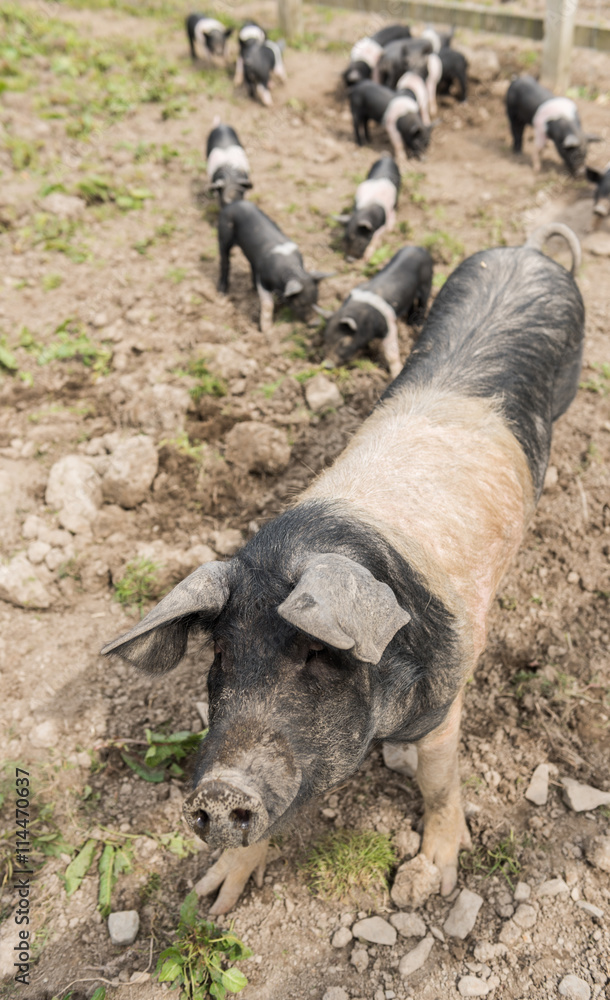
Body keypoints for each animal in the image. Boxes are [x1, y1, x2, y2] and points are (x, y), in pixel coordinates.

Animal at [215, 200, 331, 331]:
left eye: (316, 299)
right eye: (300, 303)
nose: (315, 322)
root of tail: (234, 202)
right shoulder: (263, 281)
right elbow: (267, 304)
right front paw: (266, 329)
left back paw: (253, 288)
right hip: (223, 235)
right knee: (225, 261)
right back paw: (221, 293)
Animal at [321, 245, 433, 377]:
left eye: (343, 342)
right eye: (326, 339)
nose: (327, 365)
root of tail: (418, 248)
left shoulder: (389, 325)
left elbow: (391, 353)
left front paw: (395, 374)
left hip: (427, 283)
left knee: (423, 303)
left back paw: (417, 325)